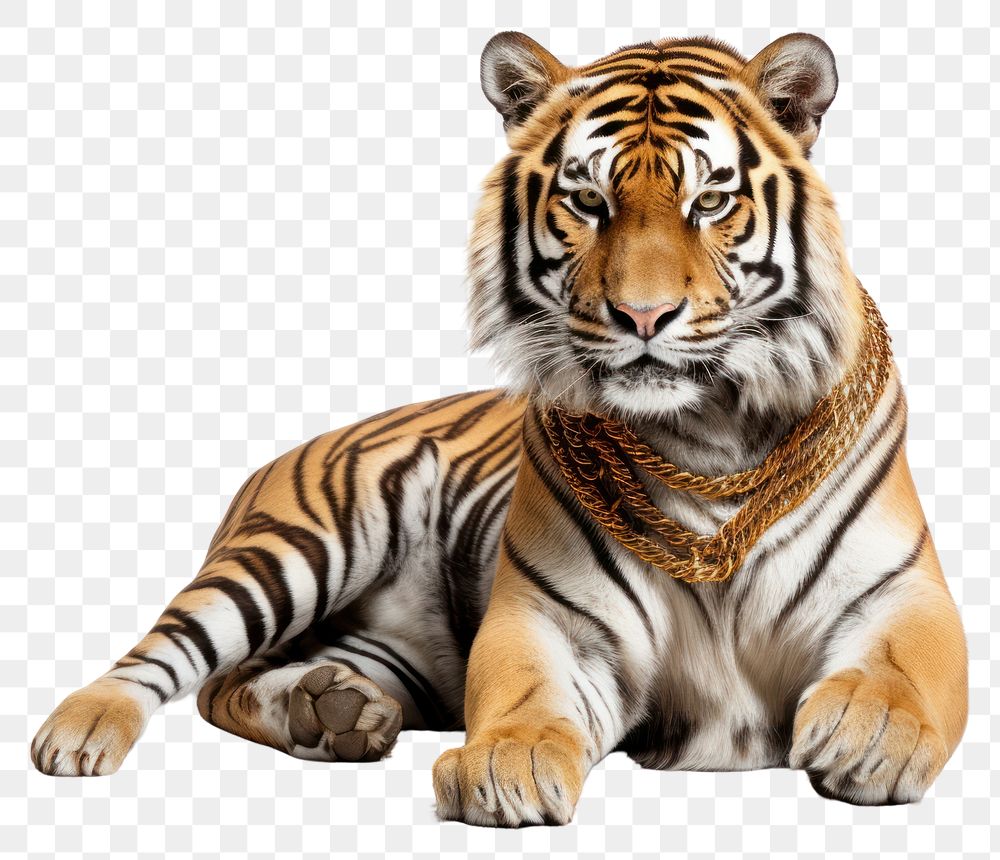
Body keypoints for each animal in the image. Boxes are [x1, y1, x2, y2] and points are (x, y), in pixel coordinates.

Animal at [31, 31, 967, 827]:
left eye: (709, 200)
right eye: (587, 200)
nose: (644, 316)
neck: (706, 436)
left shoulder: (903, 591)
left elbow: (905, 666)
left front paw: (874, 734)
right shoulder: (551, 618)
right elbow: (525, 695)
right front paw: (503, 763)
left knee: (231, 685)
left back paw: (332, 711)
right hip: (297, 546)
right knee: (170, 655)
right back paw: (80, 733)